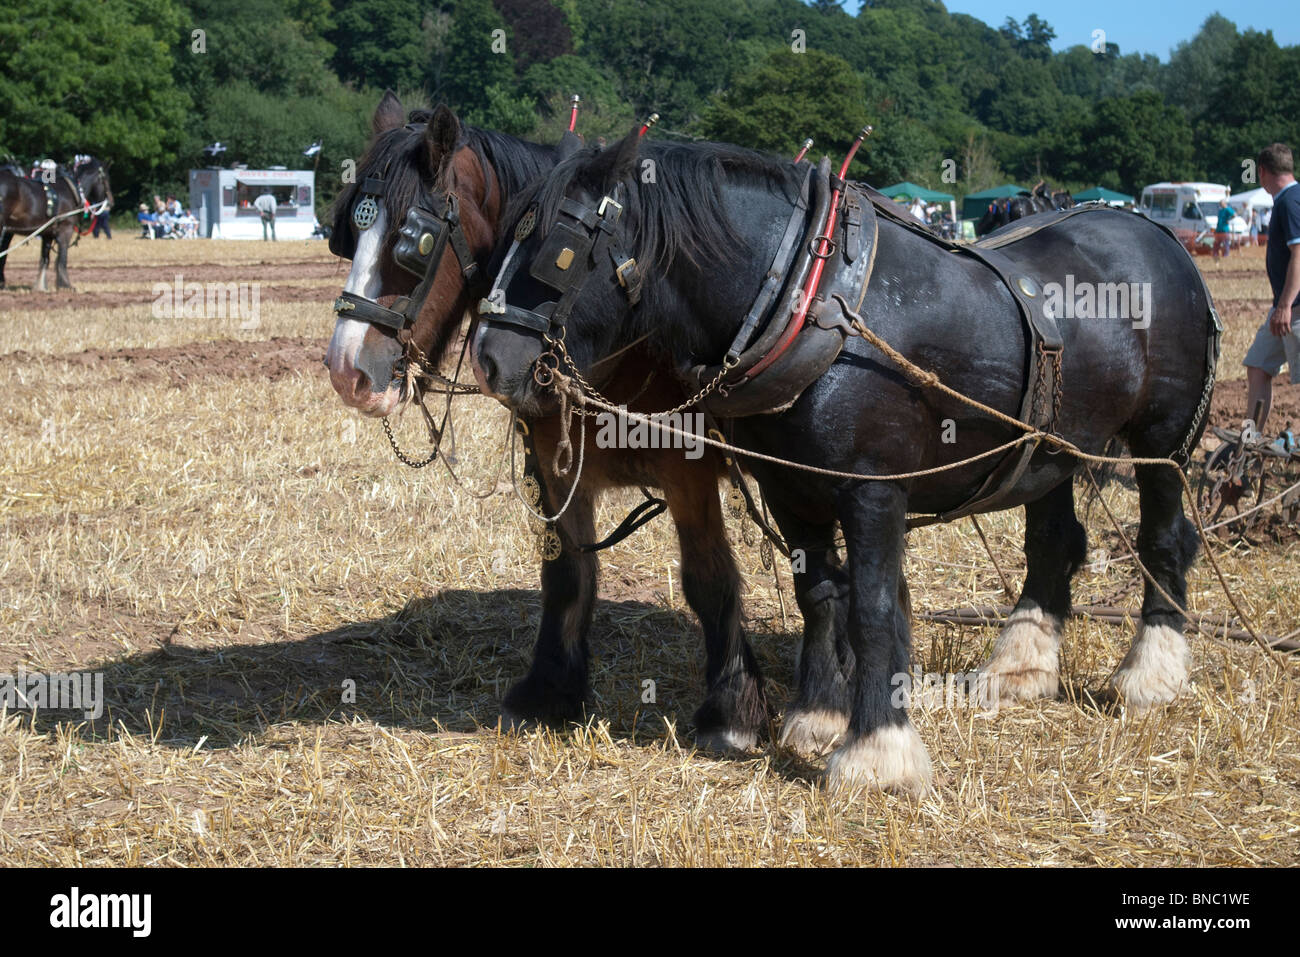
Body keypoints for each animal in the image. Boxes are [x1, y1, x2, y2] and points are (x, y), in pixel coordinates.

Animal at [0, 156, 113, 291]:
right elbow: (62, 258)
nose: (111, 201)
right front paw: (66, 285)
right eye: (106, 179)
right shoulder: (65, 230)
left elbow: (45, 258)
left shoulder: (47, 234)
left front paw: (41, 286)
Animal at [324, 94, 856, 753]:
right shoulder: (554, 463)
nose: (347, 371)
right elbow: (567, 574)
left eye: (412, 243)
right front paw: (551, 691)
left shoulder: (688, 472)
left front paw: (731, 710)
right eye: (346, 234)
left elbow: (709, 578)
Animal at [470, 132, 1219, 797]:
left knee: (1164, 539)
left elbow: (875, 608)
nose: (487, 360)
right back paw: (1020, 667)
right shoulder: (788, 487)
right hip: (1048, 452)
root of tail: (1159, 235)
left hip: (1162, 444)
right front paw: (820, 715)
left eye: (560, 247)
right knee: (1054, 541)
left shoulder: (872, 490)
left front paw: (877, 751)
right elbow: (820, 593)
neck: (811, 300)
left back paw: (1150, 673)